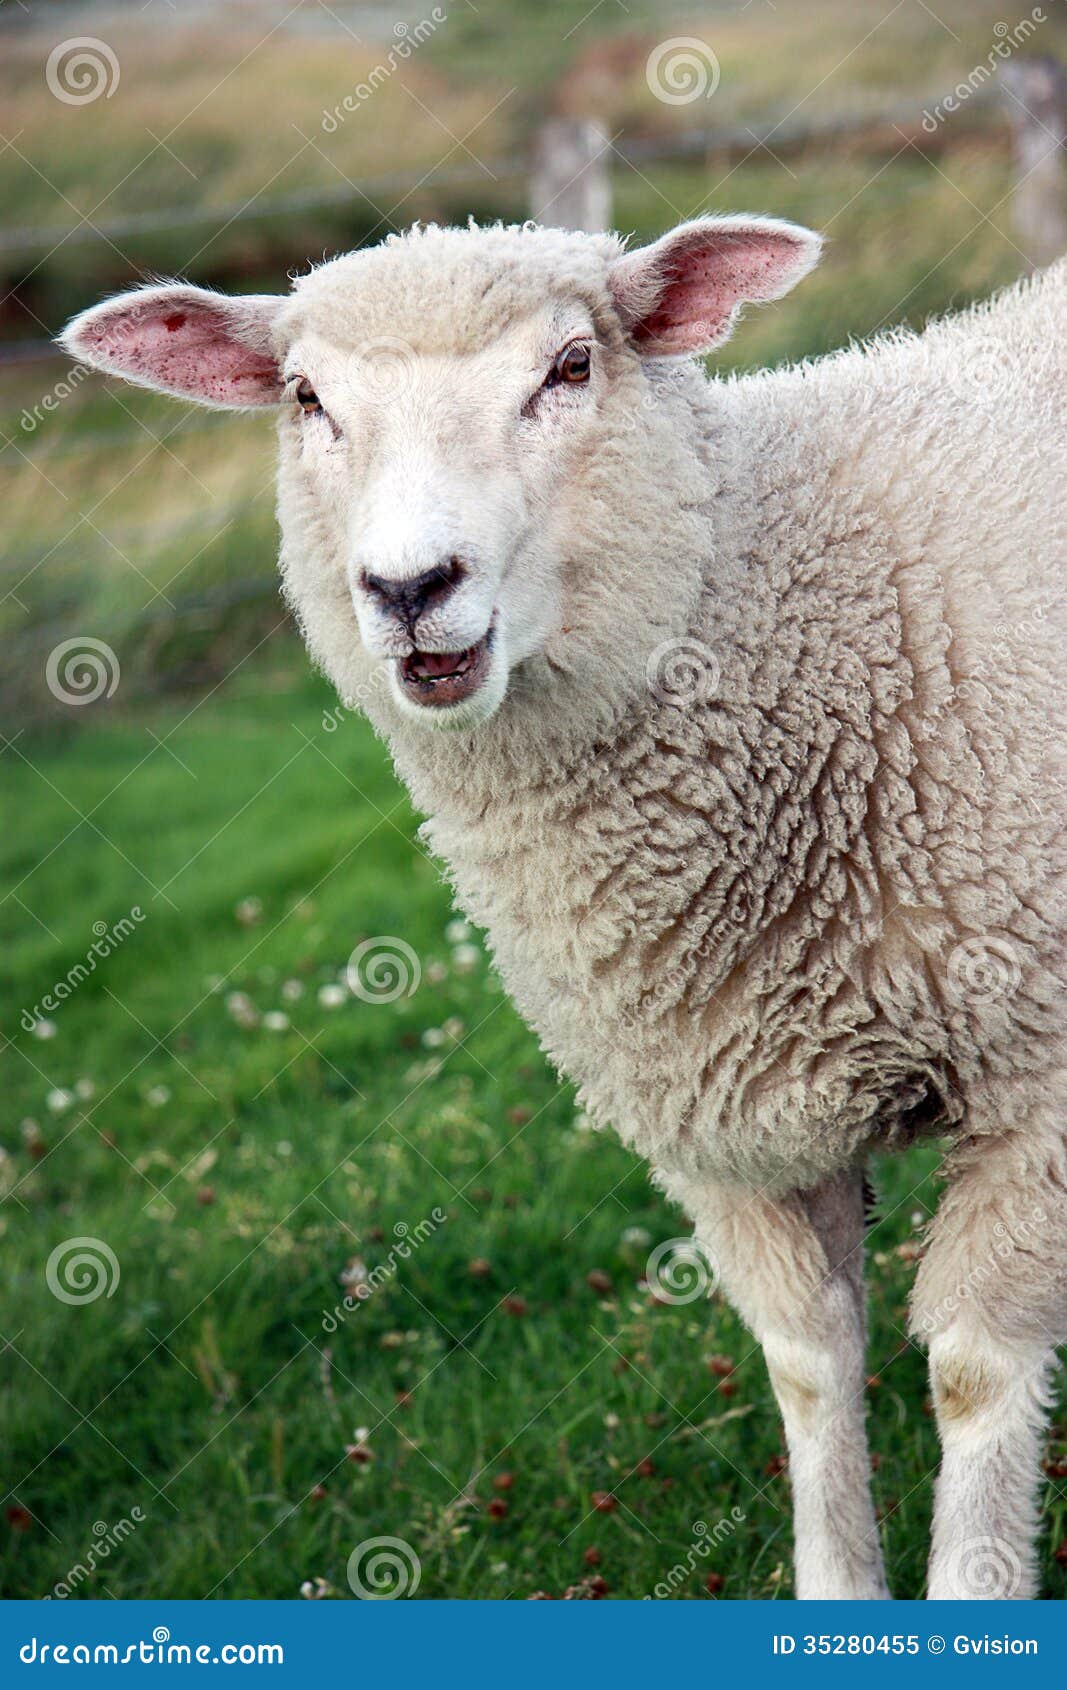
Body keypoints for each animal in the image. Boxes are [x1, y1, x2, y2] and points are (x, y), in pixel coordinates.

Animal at [63, 216, 1067, 1601]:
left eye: (572, 365)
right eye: (305, 399)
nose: (408, 587)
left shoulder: (1035, 1077)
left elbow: (971, 1368)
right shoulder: (722, 1117)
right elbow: (809, 1365)